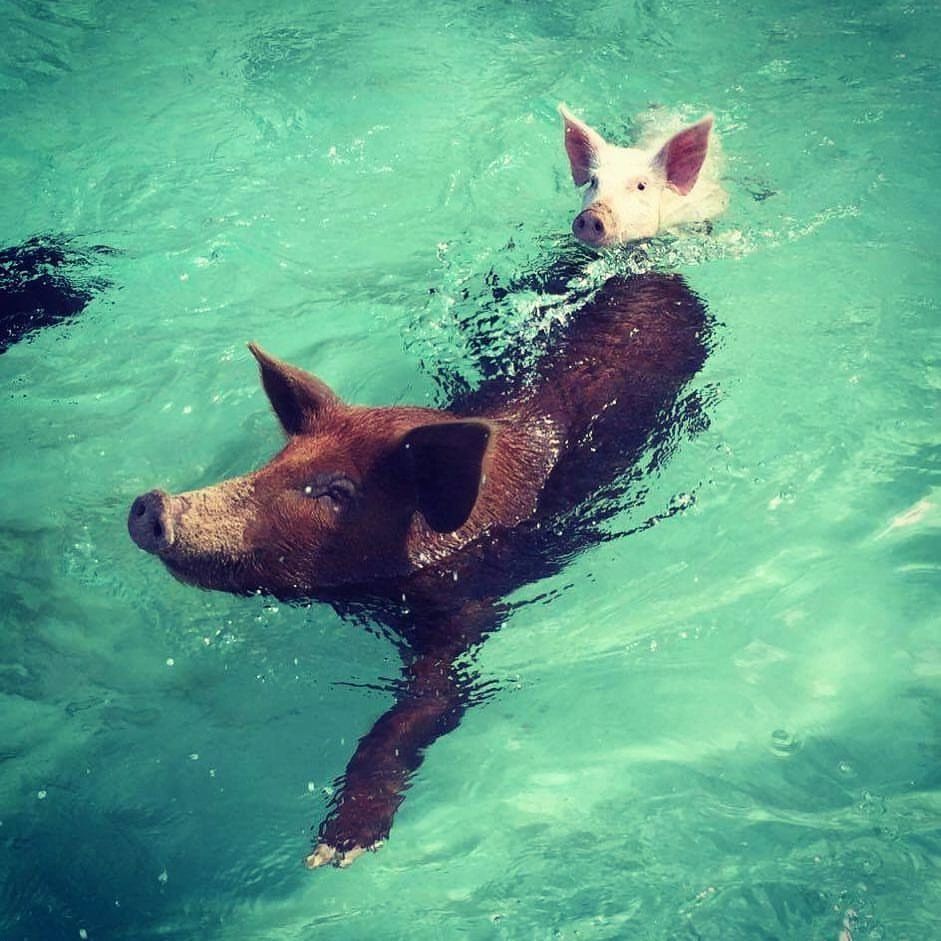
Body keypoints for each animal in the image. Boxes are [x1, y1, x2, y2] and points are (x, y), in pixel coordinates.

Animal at [128, 272, 711, 868]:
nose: (151, 505)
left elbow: (429, 703)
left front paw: (334, 853)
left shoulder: (472, 607)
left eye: (337, 491)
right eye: (275, 462)